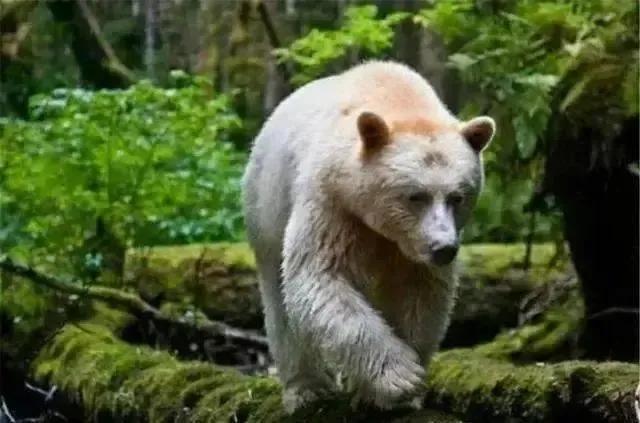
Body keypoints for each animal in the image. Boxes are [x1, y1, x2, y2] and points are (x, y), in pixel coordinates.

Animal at [243, 61, 495, 412]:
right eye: (415, 196)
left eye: (458, 197)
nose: (443, 248)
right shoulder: (331, 202)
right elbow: (320, 276)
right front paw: (401, 376)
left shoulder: (410, 251)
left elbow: (421, 294)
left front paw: (393, 392)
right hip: (266, 207)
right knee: (279, 300)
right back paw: (306, 389)